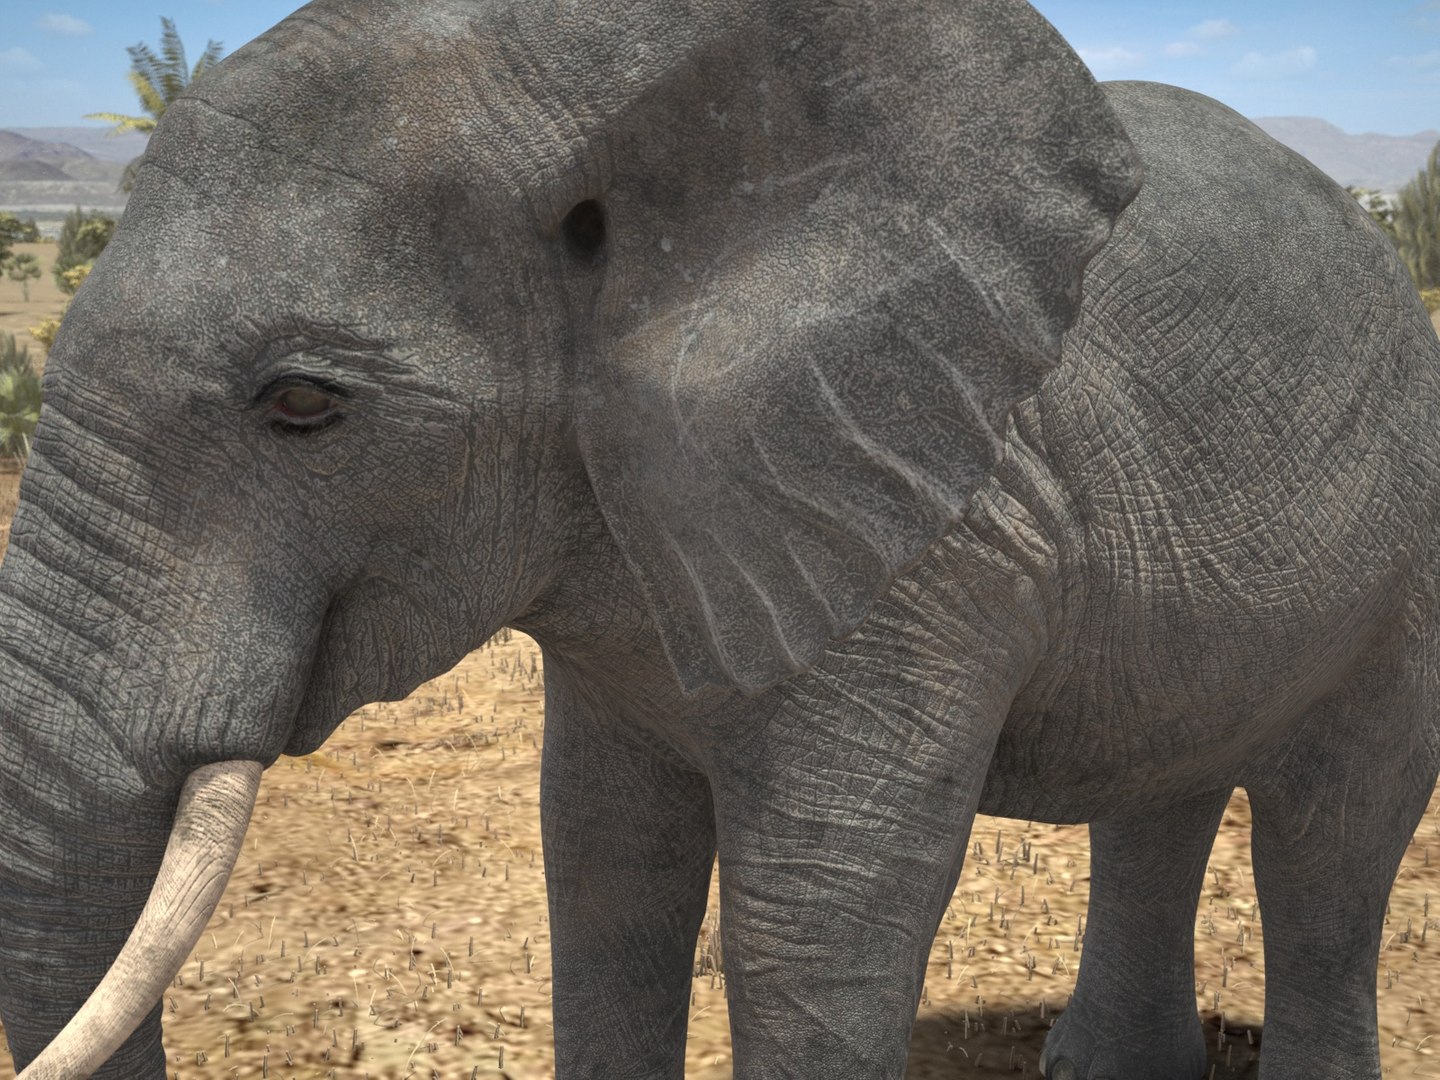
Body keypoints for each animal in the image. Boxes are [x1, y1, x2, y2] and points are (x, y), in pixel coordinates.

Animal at [2, 0, 1438, 1075]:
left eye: (303, 404)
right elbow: (603, 866)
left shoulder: (933, 542)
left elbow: (809, 912)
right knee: (1167, 791)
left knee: (1330, 839)